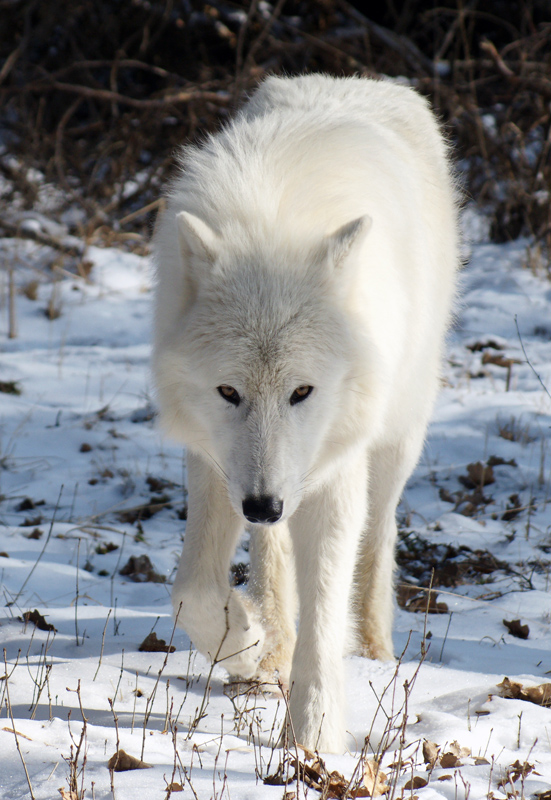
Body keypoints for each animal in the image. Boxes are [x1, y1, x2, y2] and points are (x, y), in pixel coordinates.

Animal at [152, 74, 458, 753]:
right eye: (228, 392)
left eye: (303, 392)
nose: (263, 504)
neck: (272, 221)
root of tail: (361, 80)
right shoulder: (215, 461)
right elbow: (193, 589)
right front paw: (246, 642)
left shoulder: (336, 466)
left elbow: (325, 602)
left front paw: (314, 739)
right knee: (274, 558)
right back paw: (270, 648)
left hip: (397, 435)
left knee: (378, 534)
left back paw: (373, 647)